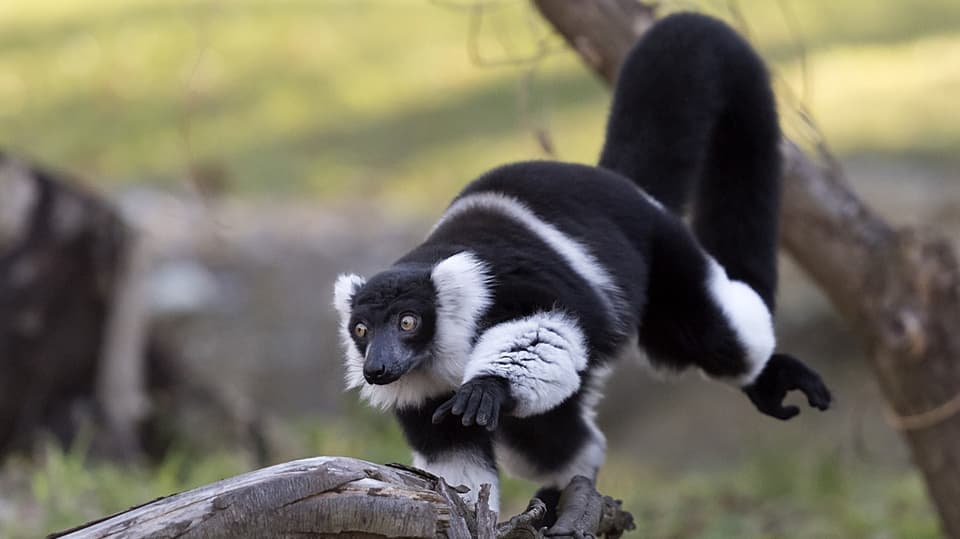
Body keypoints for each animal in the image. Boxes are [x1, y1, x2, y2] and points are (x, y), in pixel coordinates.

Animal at [332, 12, 831, 527]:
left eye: (408, 322)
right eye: (362, 331)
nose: (377, 367)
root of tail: (618, 184)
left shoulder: (510, 284)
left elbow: (549, 324)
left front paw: (489, 385)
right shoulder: (421, 389)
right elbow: (452, 450)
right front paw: (466, 512)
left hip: (668, 252)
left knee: (717, 338)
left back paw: (769, 375)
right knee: (546, 440)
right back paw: (566, 491)